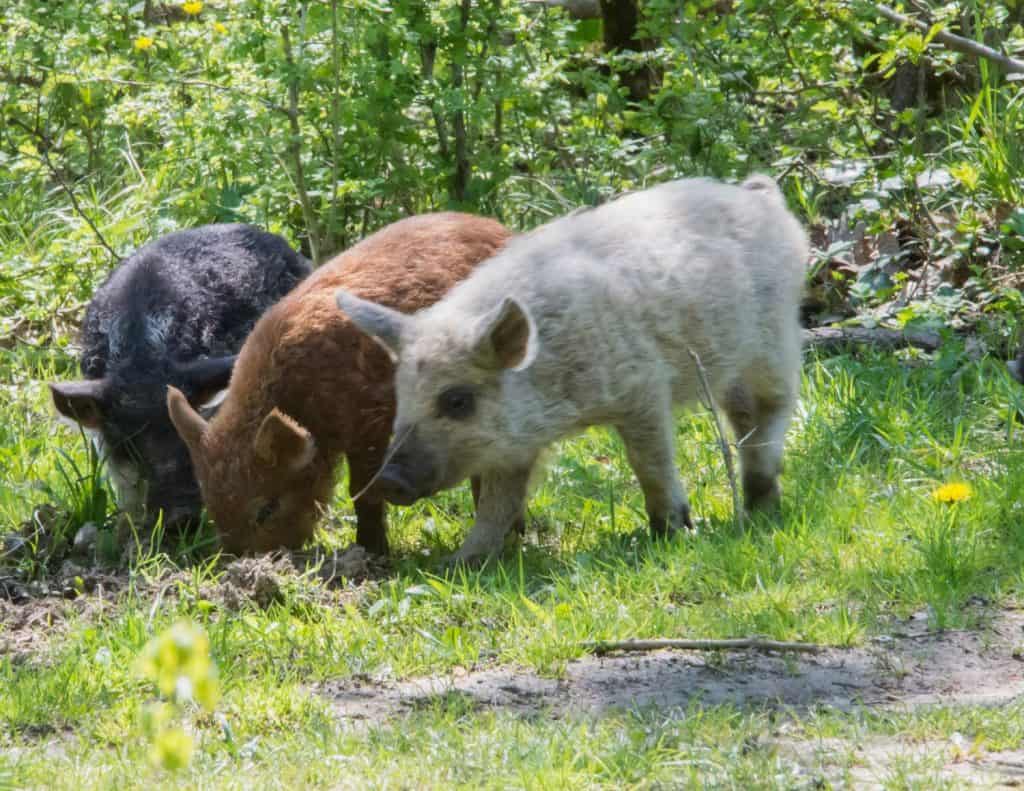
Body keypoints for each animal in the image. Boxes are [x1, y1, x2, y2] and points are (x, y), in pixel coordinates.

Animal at [165, 213, 513, 556]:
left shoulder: (370, 422)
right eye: (213, 506)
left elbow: (362, 490)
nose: (238, 560)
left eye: (266, 509)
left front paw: (371, 553)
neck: (305, 399)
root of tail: (501, 228)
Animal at [336, 175, 809, 564]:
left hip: (774, 338)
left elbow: (649, 464)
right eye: (402, 394)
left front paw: (670, 534)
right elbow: (497, 503)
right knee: (742, 415)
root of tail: (761, 197)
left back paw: (761, 510)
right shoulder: (513, 445)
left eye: (456, 400)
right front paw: (460, 564)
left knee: (773, 407)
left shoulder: (643, 389)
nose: (388, 479)